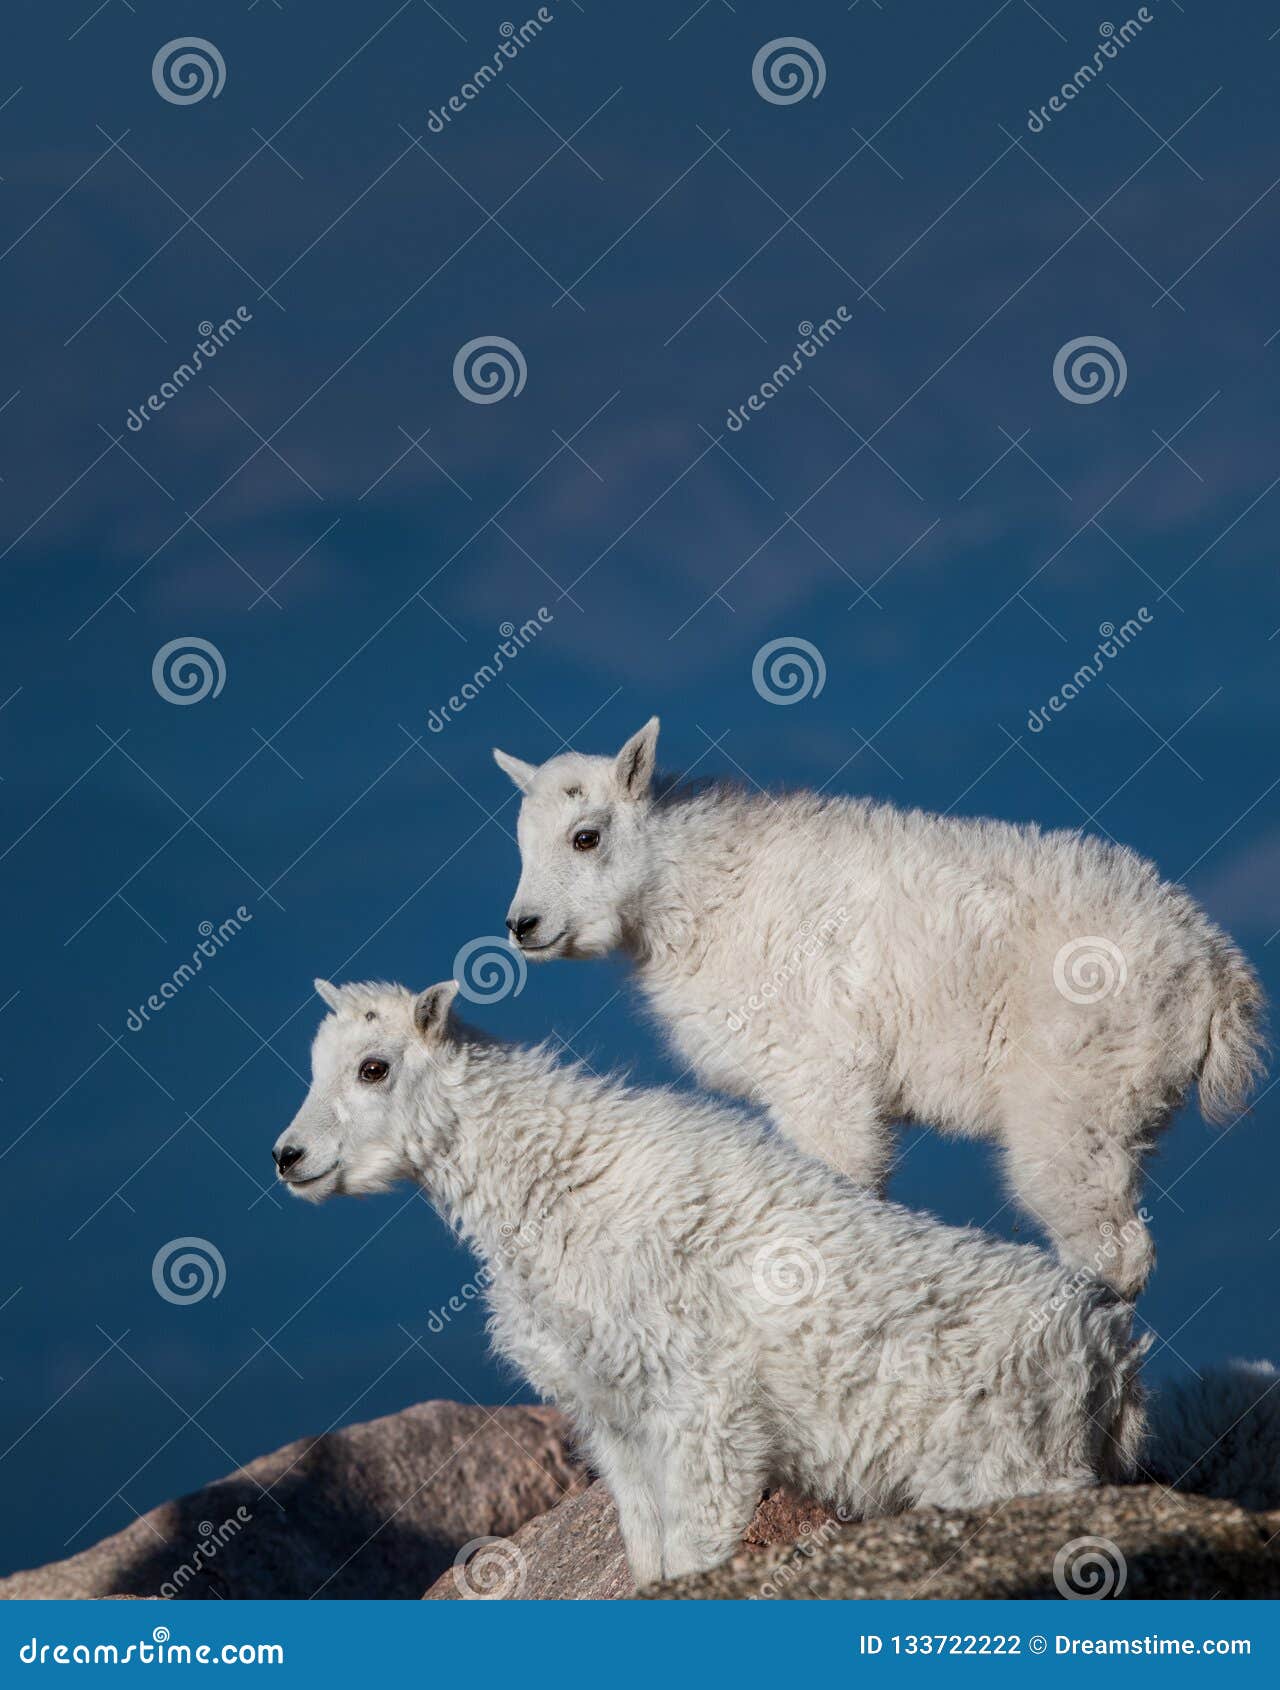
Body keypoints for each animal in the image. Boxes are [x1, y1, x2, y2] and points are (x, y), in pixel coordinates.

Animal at [273, 977, 1146, 1587]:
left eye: (373, 1068)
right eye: (316, 1067)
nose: (289, 1158)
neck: (559, 1184)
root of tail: (1111, 1357)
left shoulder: (703, 1408)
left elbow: (698, 1543)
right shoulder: (613, 1415)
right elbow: (646, 1546)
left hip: (1015, 1469)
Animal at [493, 719, 1267, 1298]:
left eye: (586, 836)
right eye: (521, 843)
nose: (523, 927)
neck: (704, 890)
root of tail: (1213, 967)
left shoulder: (820, 1077)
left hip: (1077, 1100)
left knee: (1110, 1249)